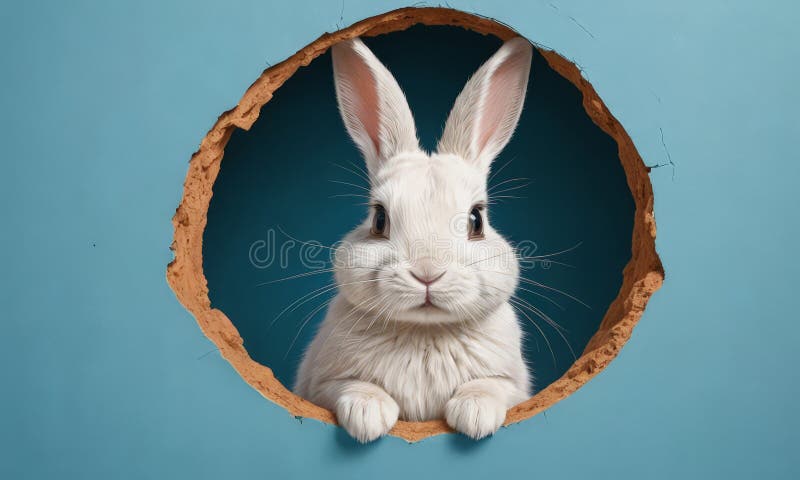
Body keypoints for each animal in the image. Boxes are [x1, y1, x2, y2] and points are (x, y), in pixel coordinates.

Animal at [295, 36, 533, 443]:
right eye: (379, 219)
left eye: (476, 220)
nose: (427, 274)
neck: (424, 331)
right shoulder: (321, 384)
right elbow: (349, 386)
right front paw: (368, 415)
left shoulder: (514, 385)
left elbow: (493, 386)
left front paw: (474, 414)